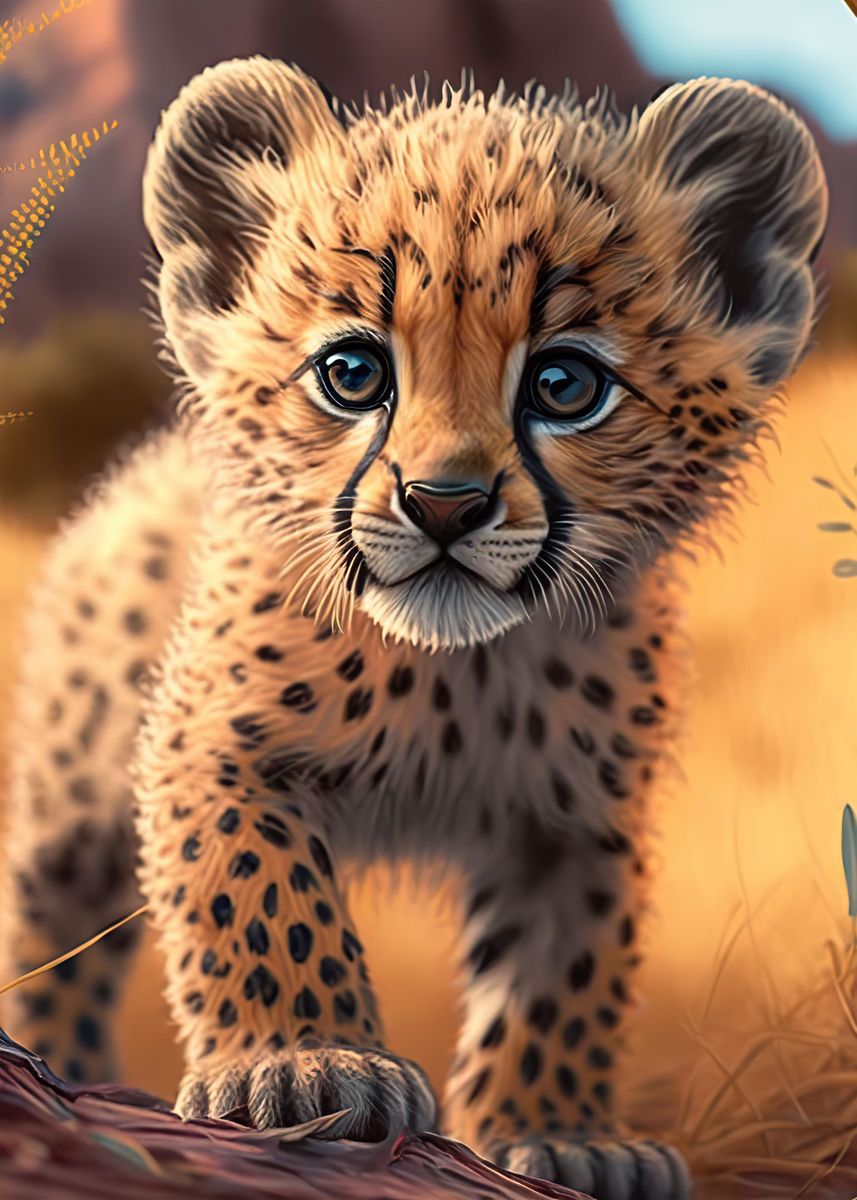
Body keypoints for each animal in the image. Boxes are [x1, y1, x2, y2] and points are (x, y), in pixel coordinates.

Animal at [0, 57, 826, 1199]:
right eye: (352, 374)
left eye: (564, 385)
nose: (443, 503)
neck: (455, 674)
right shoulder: (211, 742)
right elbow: (259, 892)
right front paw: (306, 1065)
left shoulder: (579, 816)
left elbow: (564, 971)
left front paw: (561, 1133)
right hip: (74, 773)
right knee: (53, 912)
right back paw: (53, 1052)